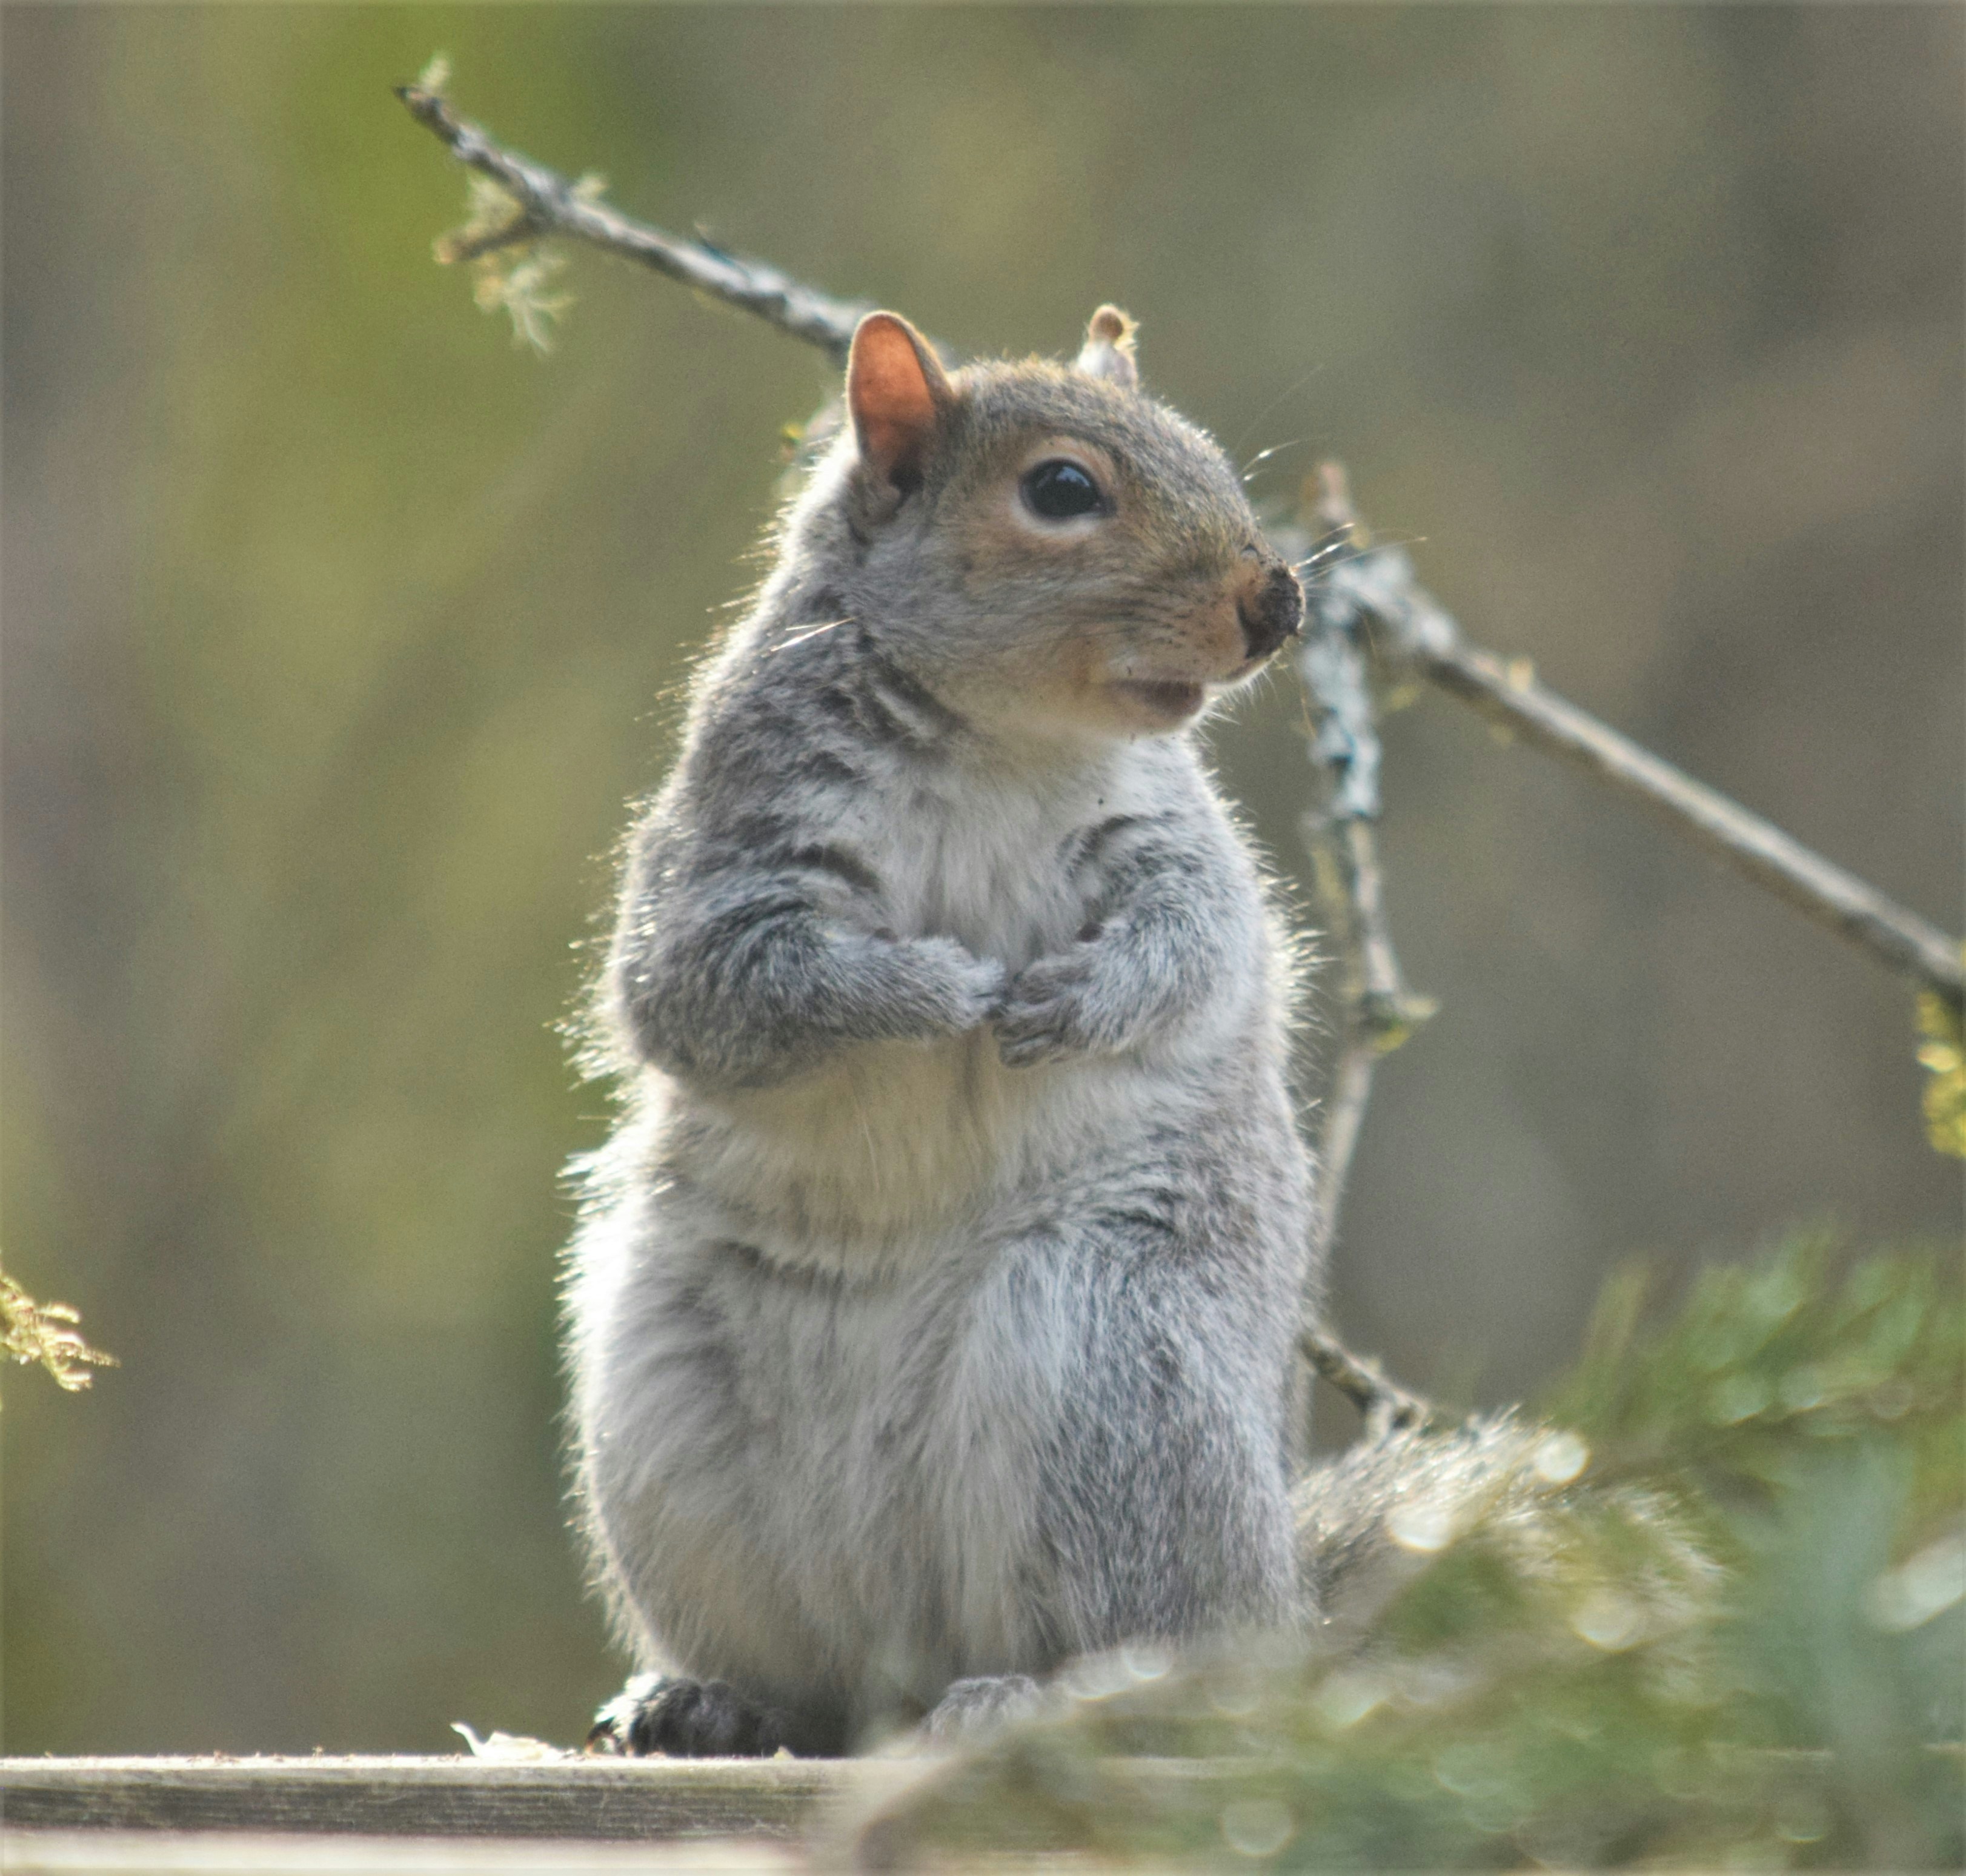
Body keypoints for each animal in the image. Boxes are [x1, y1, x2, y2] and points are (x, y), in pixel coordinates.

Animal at [568, 305, 1320, 1757]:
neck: (1001, 741)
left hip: (1106, 1358)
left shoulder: (1174, 845)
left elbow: (1199, 952)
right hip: (664, 1427)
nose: (1277, 602)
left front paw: (1075, 1000)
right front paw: (933, 991)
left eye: (1209, 452)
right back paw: (709, 1701)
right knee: (807, 1683)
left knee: (1151, 1654)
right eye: (1063, 490)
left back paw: (1032, 1696)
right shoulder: (731, 851)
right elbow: (707, 990)